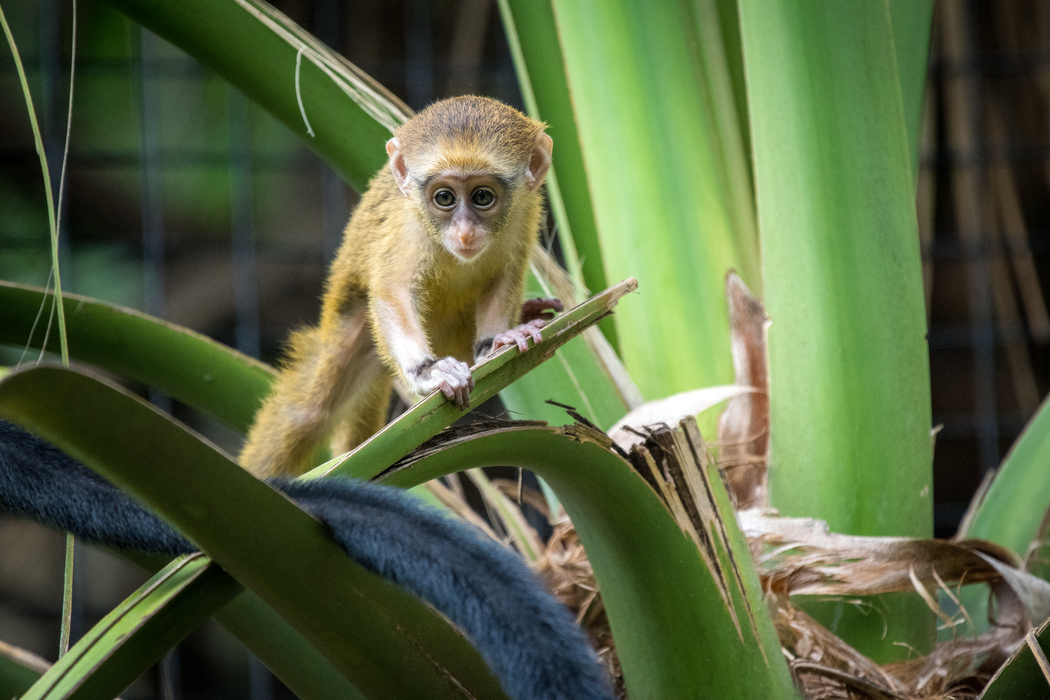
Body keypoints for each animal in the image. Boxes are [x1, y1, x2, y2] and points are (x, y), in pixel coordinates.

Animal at [240, 96, 560, 478]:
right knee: (307, 413)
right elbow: (393, 289)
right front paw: (427, 372)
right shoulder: (410, 223)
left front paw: (499, 341)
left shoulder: (524, 212)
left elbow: (503, 275)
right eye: (444, 198)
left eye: (482, 197)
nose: (465, 232)